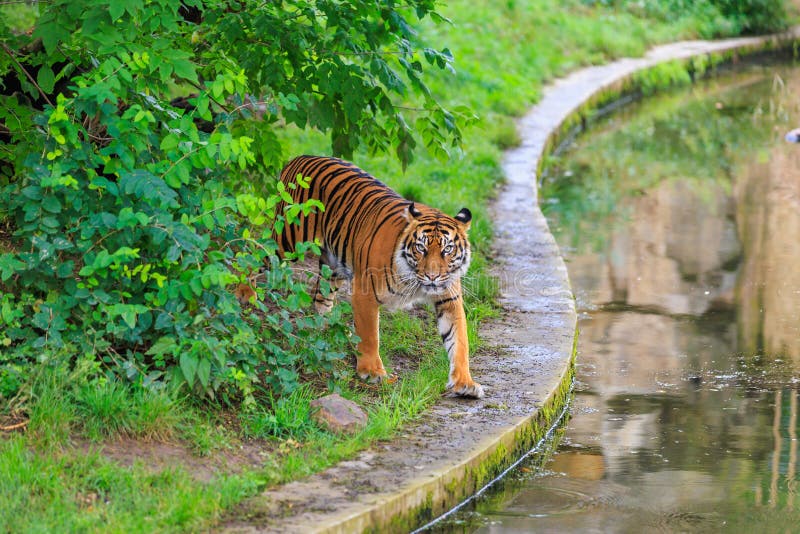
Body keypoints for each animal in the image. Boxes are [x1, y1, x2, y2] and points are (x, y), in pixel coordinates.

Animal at [274, 155, 484, 399]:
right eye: (421, 248)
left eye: (447, 249)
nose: (432, 276)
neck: (414, 280)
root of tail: (298, 158)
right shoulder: (364, 292)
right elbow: (370, 334)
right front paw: (372, 372)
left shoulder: (449, 299)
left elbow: (459, 342)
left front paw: (464, 382)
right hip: (287, 240)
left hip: (333, 265)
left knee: (321, 299)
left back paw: (326, 329)